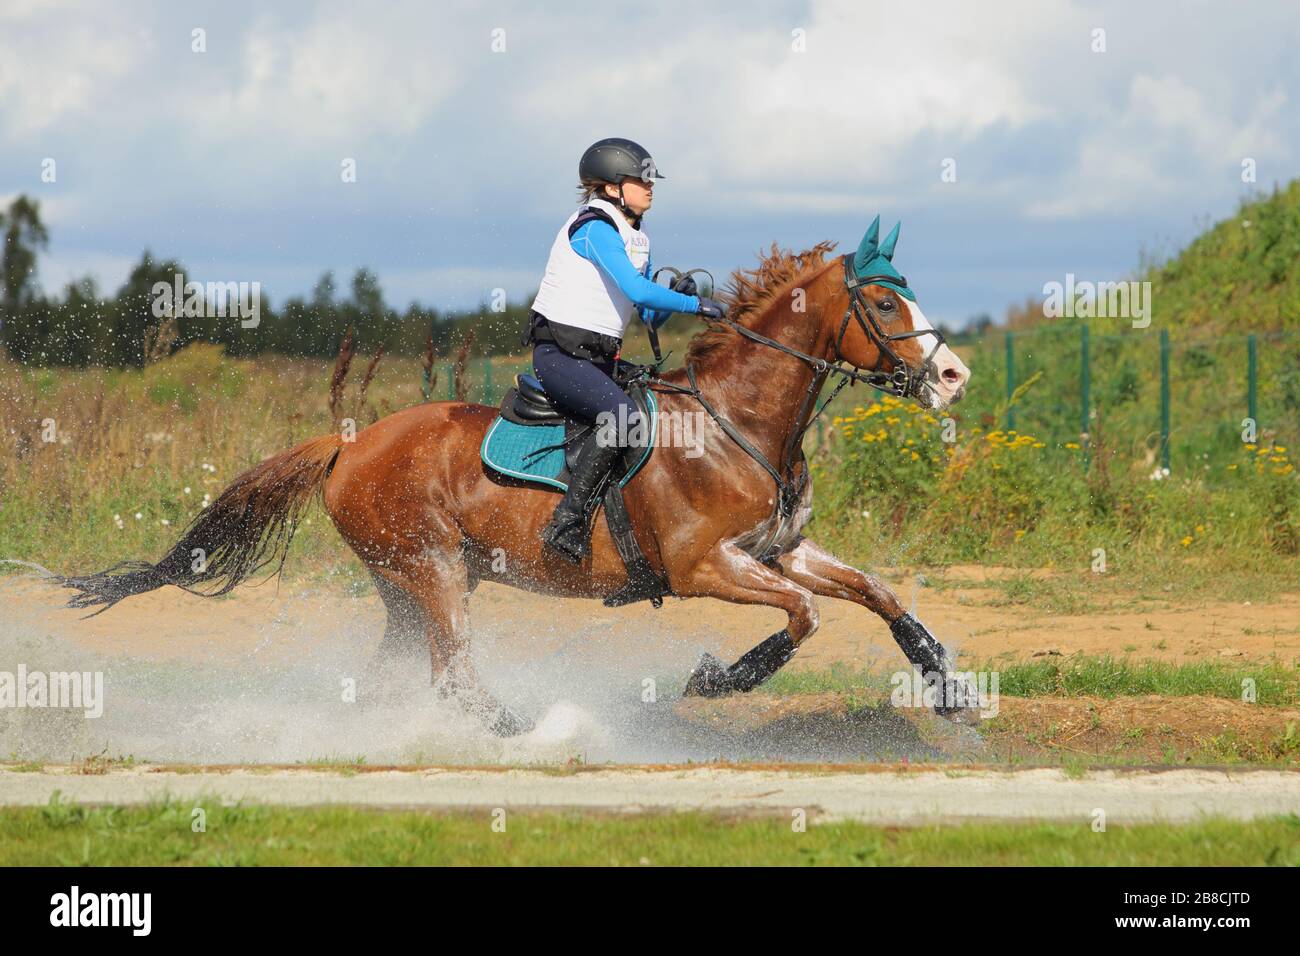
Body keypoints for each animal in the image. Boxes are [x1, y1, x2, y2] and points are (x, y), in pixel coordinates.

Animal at [57, 216, 975, 736]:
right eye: (883, 303)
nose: (954, 375)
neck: (737, 424)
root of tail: (347, 443)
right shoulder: (704, 566)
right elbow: (805, 616)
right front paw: (719, 679)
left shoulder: (778, 549)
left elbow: (875, 593)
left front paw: (949, 686)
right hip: (430, 569)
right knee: (452, 672)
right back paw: (523, 727)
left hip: (410, 582)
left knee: (406, 673)